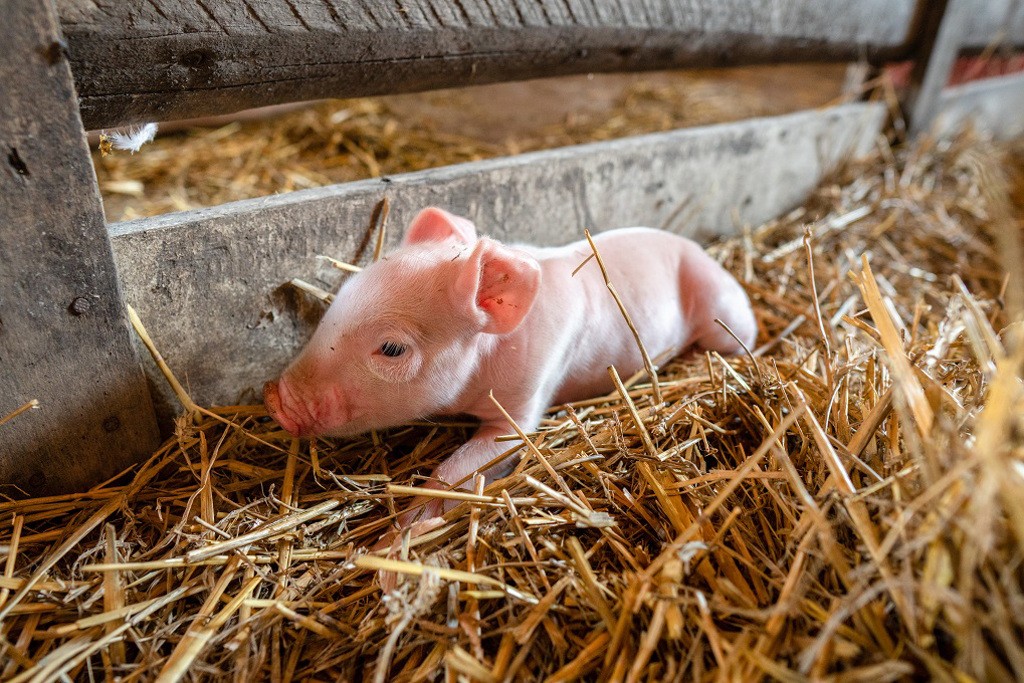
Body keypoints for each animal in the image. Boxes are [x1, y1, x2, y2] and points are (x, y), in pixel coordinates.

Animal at [263, 207, 757, 524]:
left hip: (725, 313)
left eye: (391, 349)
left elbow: (460, 469)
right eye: (339, 301)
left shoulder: (526, 402)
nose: (276, 400)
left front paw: (393, 550)